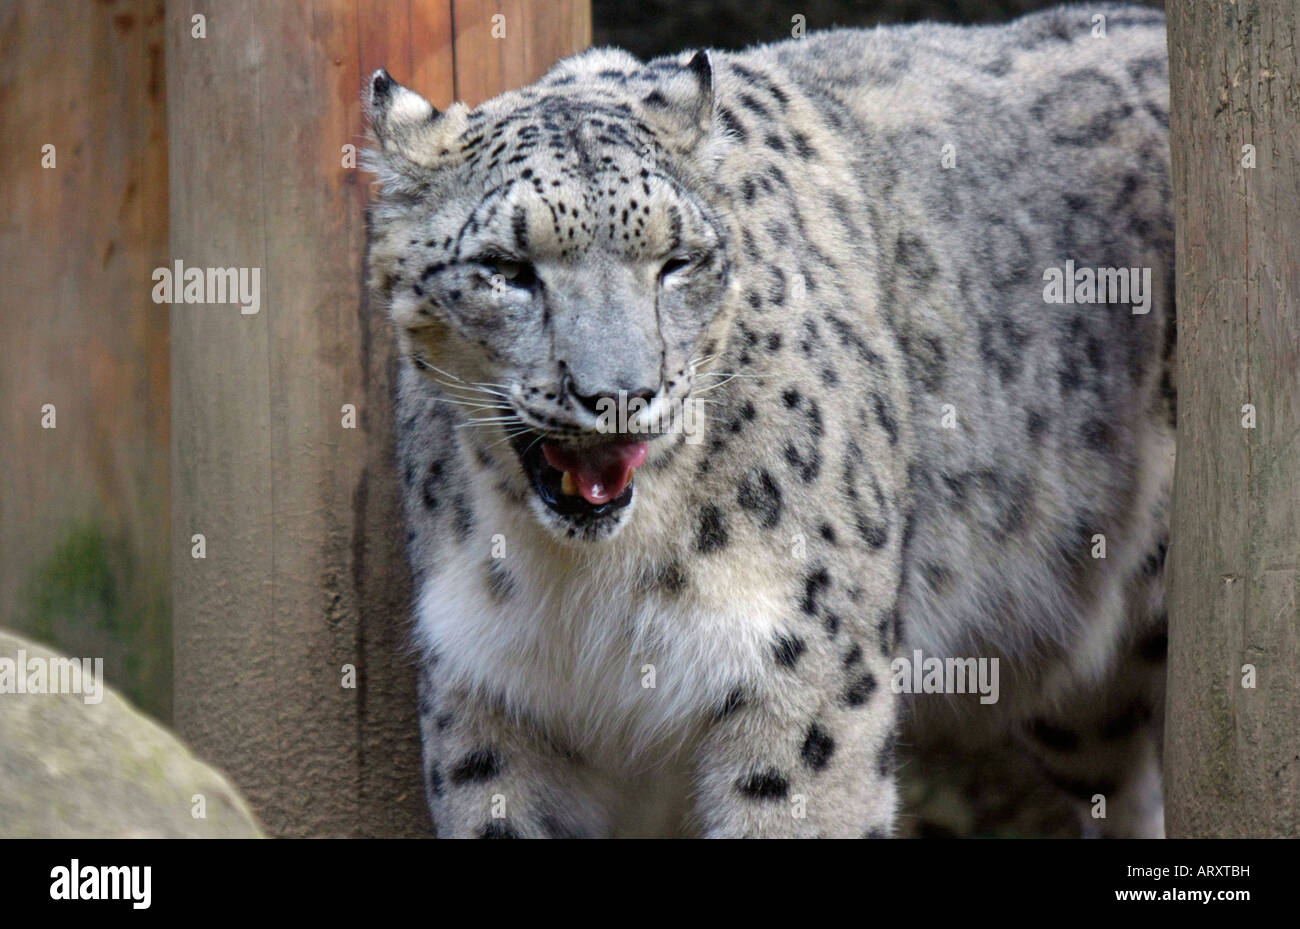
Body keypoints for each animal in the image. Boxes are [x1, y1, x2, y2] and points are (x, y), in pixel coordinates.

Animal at [364, 3, 1175, 838]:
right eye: (506, 268)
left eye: (676, 262)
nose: (619, 392)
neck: (584, 579)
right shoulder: (491, 695)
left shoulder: (805, 674)